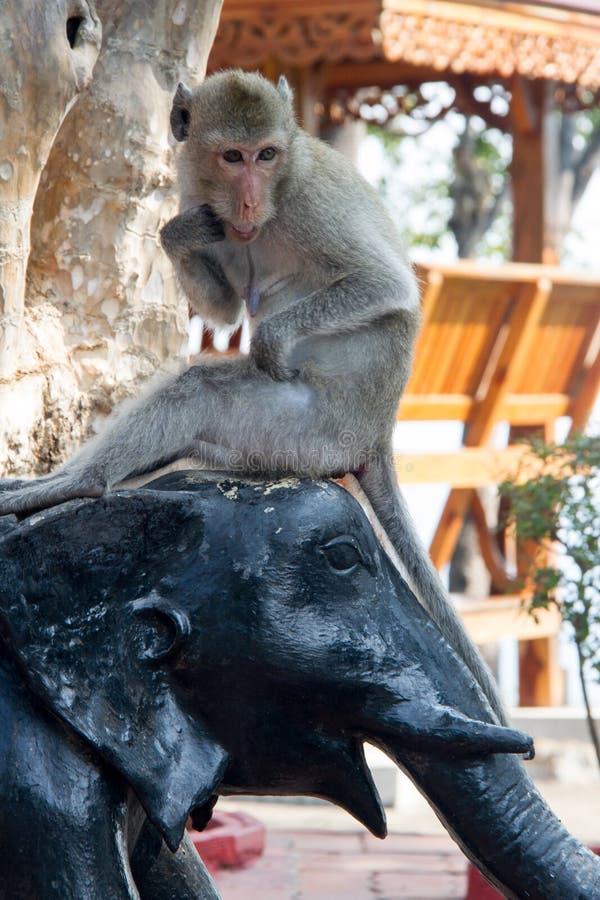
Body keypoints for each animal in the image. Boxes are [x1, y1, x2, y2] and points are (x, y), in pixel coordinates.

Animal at [0, 70, 507, 726]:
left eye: (266, 156)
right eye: (232, 157)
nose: (245, 204)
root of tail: (377, 436)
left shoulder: (308, 204)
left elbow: (385, 286)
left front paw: (271, 338)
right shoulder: (199, 199)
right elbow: (221, 307)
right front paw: (179, 234)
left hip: (307, 436)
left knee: (199, 391)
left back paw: (78, 484)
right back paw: (59, 482)